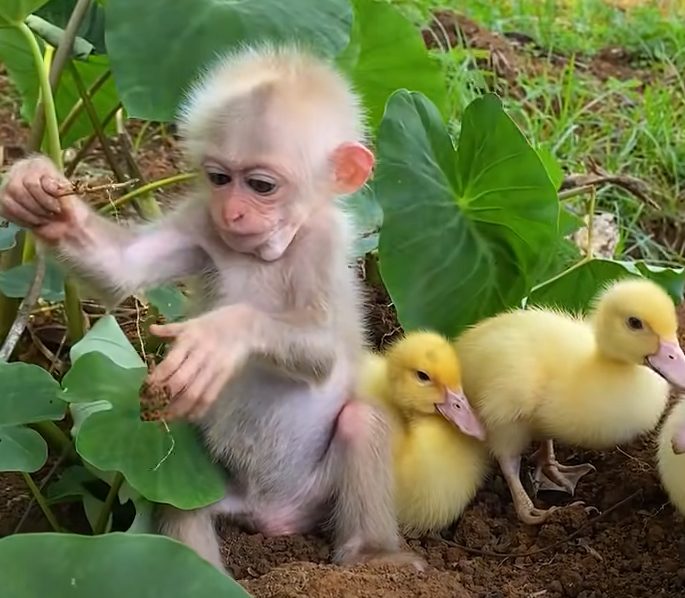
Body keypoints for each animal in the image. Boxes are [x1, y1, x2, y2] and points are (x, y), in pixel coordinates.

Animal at [0, 45, 425, 572]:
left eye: (261, 186)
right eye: (220, 179)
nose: (233, 212)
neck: (266, 253)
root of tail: (274, 516)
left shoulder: (324, 243)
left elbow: (326, 350)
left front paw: (222, 335)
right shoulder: (202, 222)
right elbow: (123, 269)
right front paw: (36, 192)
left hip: (316, 492)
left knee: (360, 422)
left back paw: (371, 554)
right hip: (202, 484)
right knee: (180, 508)